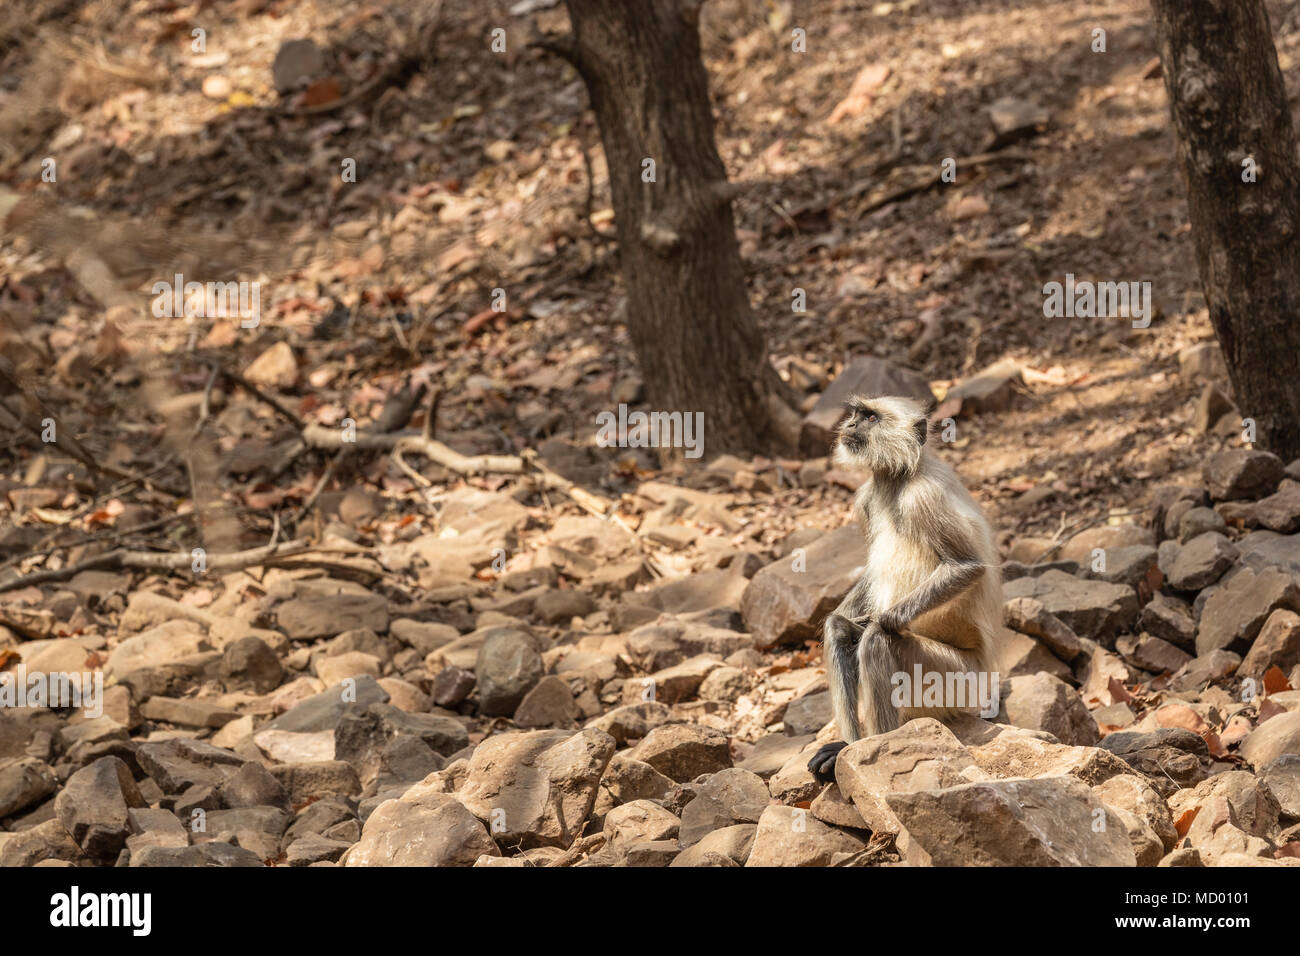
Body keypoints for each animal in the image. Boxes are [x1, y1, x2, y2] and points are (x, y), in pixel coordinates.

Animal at [807, 394, 1002, 783]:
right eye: (856, 415)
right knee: (839, 631)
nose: (849, 425)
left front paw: (878, 621)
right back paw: (847, 748)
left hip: (956, 679)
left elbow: (967, 566)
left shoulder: (923, 496)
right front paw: (844, 617)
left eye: (869, 417)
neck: (896, 479)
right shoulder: (866, 500)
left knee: (878, 643)